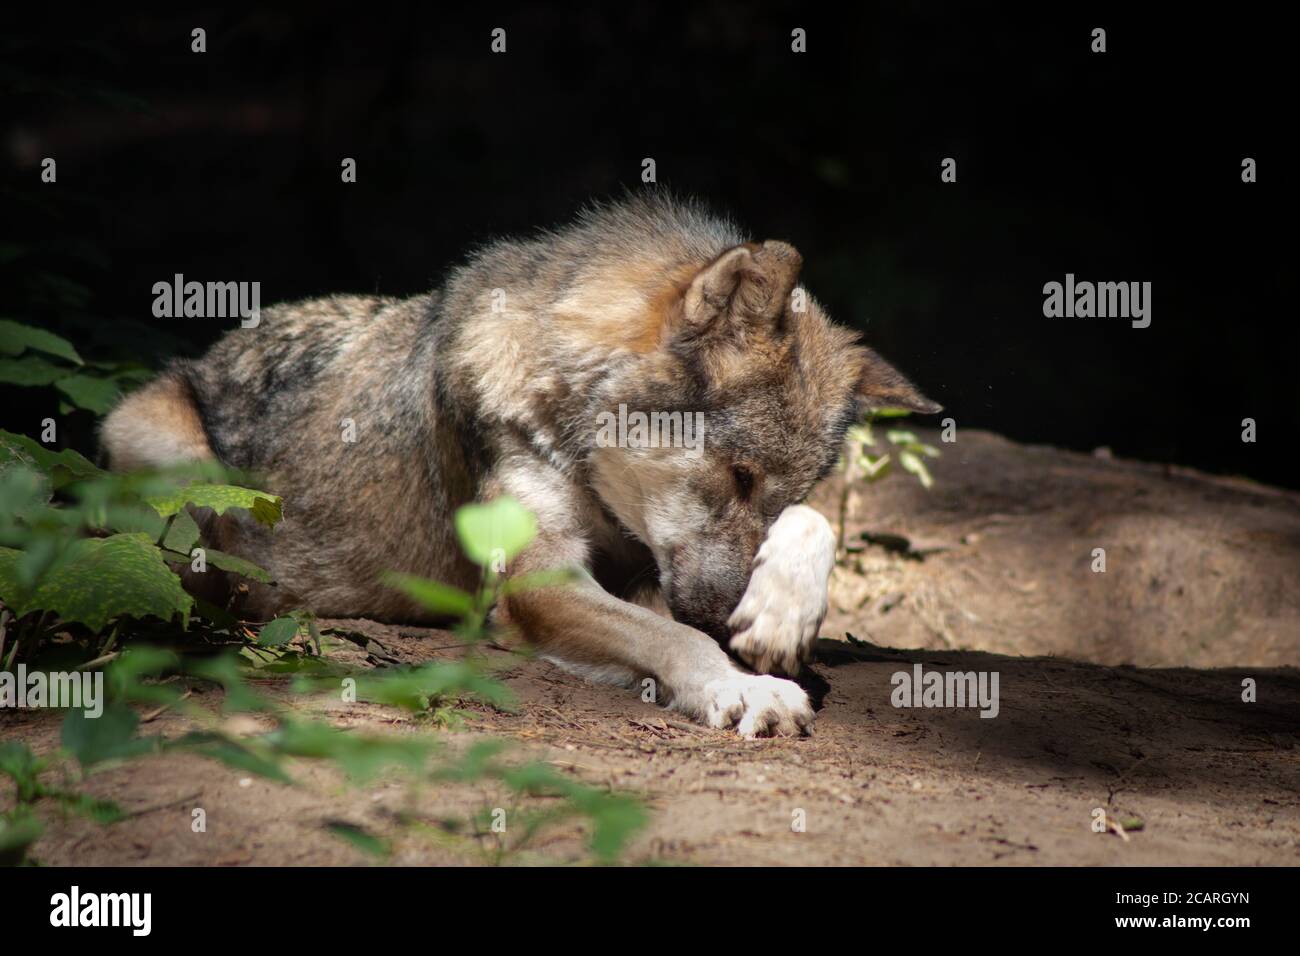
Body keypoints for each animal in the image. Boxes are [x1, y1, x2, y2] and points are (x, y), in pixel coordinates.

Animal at [102, 194, 939, 737]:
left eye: (777, 490)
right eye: (737, 475)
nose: (728, 612)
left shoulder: (640, 570)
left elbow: (813, 525)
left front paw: (778, 616)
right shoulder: (541, 580)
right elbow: (675, 640)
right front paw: (741, 686)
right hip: (162, 457)